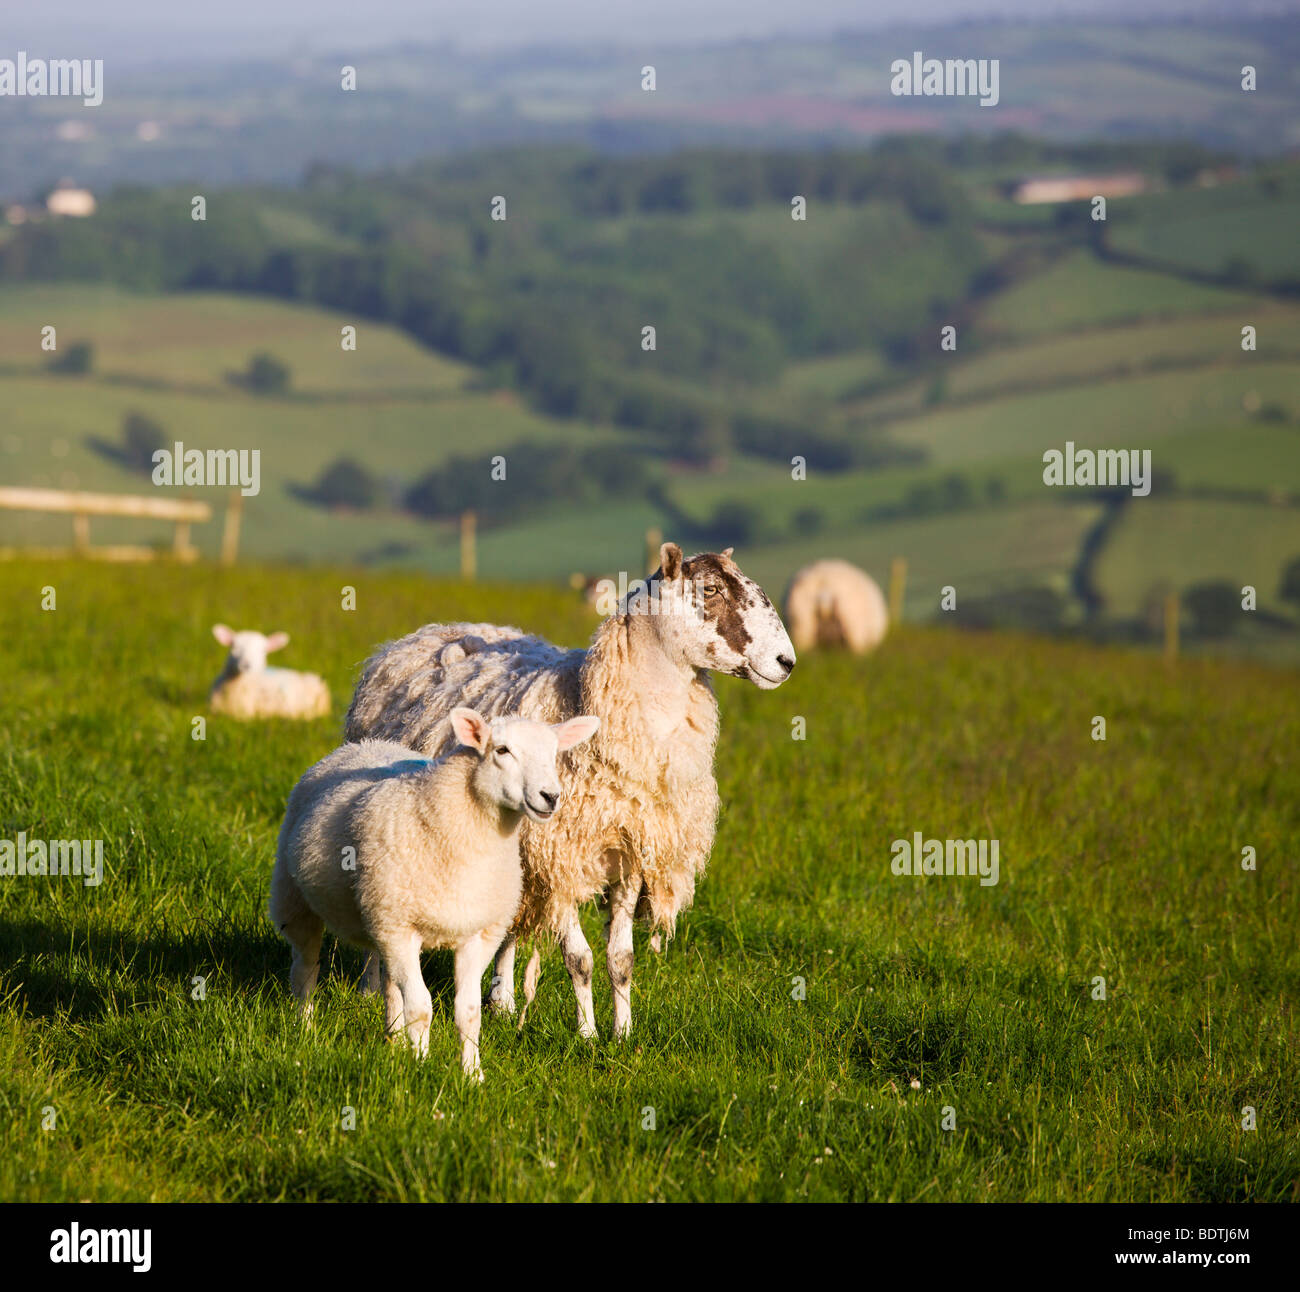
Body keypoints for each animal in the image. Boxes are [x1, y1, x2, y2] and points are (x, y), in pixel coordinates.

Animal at [269, 706, 600, 1080]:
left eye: (555, 753)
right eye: (501, 750)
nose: (550, 797)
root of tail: (363, 745)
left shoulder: (475, 934)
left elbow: (468, 1011)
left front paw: (471, 1075)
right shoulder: (400, 929)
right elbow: (421, 1007)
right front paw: (421, 1066)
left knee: (389, 985)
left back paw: (394, 1040)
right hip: (297, 899)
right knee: (305, 968)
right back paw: (305, 1028)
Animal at [345, 543, 796, 1040]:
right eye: (711, 589)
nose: (787, 662)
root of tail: (426, 632)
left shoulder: (625, 856)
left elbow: (621, 959)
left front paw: (623, 1034)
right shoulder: (559, 855)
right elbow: (579, 960)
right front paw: (587, 1036)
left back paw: (503, 1001)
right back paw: (370, 989)